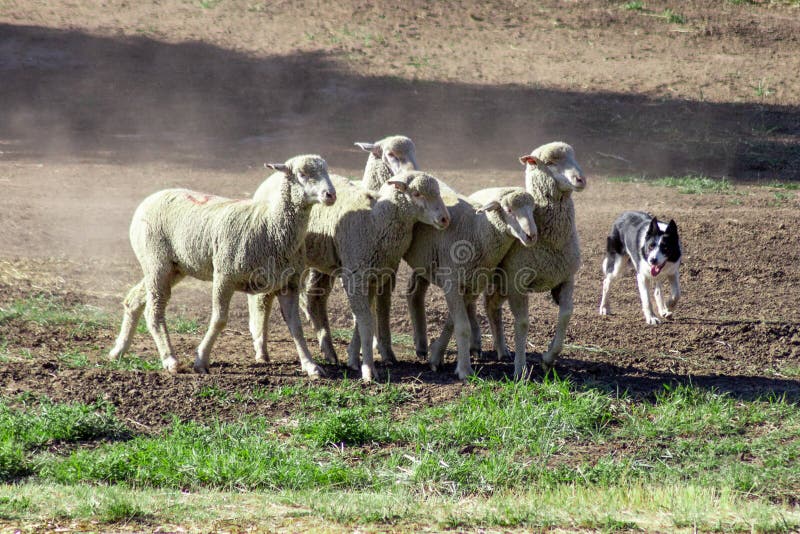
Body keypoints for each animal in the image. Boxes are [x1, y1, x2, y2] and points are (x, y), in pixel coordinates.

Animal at [108, 154, 336, 377]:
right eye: (302, 174)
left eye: (326, 170)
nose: (331, 194)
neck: (270, 225)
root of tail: (150, 199)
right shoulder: (225, 275)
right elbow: (219, 320)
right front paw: (201, 360)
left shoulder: (288, 283)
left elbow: (296, 327)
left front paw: (311, 365)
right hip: (157, 262)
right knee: (154, 310)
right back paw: (170, 359)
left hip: (173, 267)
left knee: (134, 300)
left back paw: (118, 350)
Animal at [249, 170, 451, 382]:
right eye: (417, 193)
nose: (445, 219)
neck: (376, 220)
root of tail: (269, 178)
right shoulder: (355, 274)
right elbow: (365, 320)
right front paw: (368, 369)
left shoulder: (373, 275)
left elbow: (363, 318)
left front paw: (353, 358)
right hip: (275, 252)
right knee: (263, 300)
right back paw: (261, 349)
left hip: (321, 261)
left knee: (314, 300)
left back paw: (329, 352)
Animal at [404, 186, 537, 380]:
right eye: (509, 210)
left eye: (533, 209)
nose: (531, 236)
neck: (477, 230)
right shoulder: (452, 281)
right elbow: (462, 326)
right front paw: (465, 370)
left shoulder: (472, 281)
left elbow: (452, 322)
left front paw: (436, 355)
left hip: (426, 259)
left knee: (414, 293)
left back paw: (422, 346)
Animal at [482, 142, 587, 378]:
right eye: (549, 162)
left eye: (574, 157)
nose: (580, 180)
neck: (553, 240)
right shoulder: (517, 283)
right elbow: (522, 323)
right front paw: (520, 370)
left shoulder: (566, 277)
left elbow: (566, 314)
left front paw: (548, 358)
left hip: (502, 284)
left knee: (491, 305)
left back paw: (502, 350)